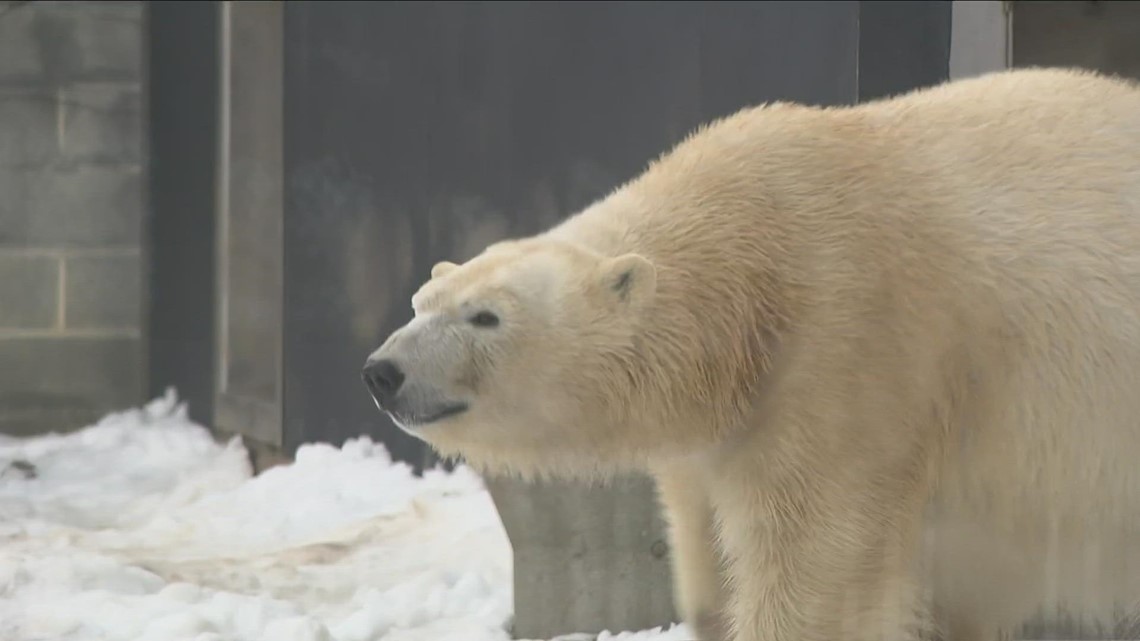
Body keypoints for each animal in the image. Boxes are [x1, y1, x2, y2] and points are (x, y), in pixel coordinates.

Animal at [362, 67, 1140, 641]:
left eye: (486, 315)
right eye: (421, 303)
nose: (382, 372)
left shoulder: (847, 352)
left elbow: (818, 563)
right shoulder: (722, 429)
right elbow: (703, 545)